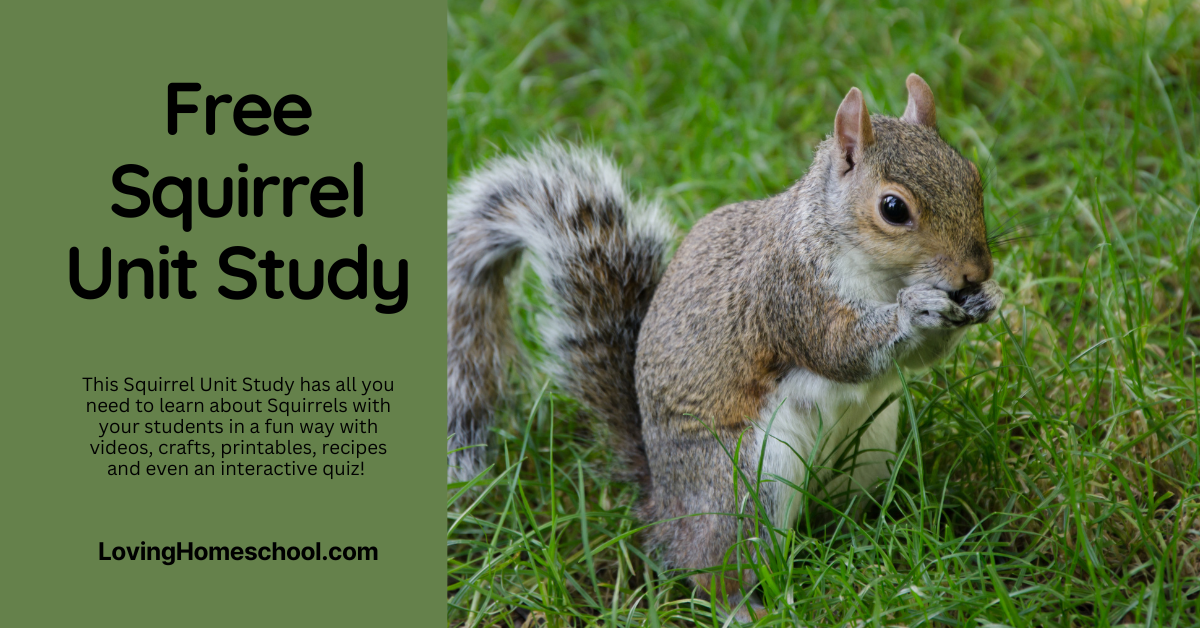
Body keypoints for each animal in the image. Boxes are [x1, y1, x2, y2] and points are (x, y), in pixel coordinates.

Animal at [447, 74, 1003, 619]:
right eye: (893, 209)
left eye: (973, 176)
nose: (975, 272)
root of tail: (665, 514)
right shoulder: (791, 296)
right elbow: (841, 350)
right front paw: (916, 309)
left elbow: (920, 358)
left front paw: (987, 299)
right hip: (747, 486)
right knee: (715, 570)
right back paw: (748, 607)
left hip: (866, 456)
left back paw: (872, 550)